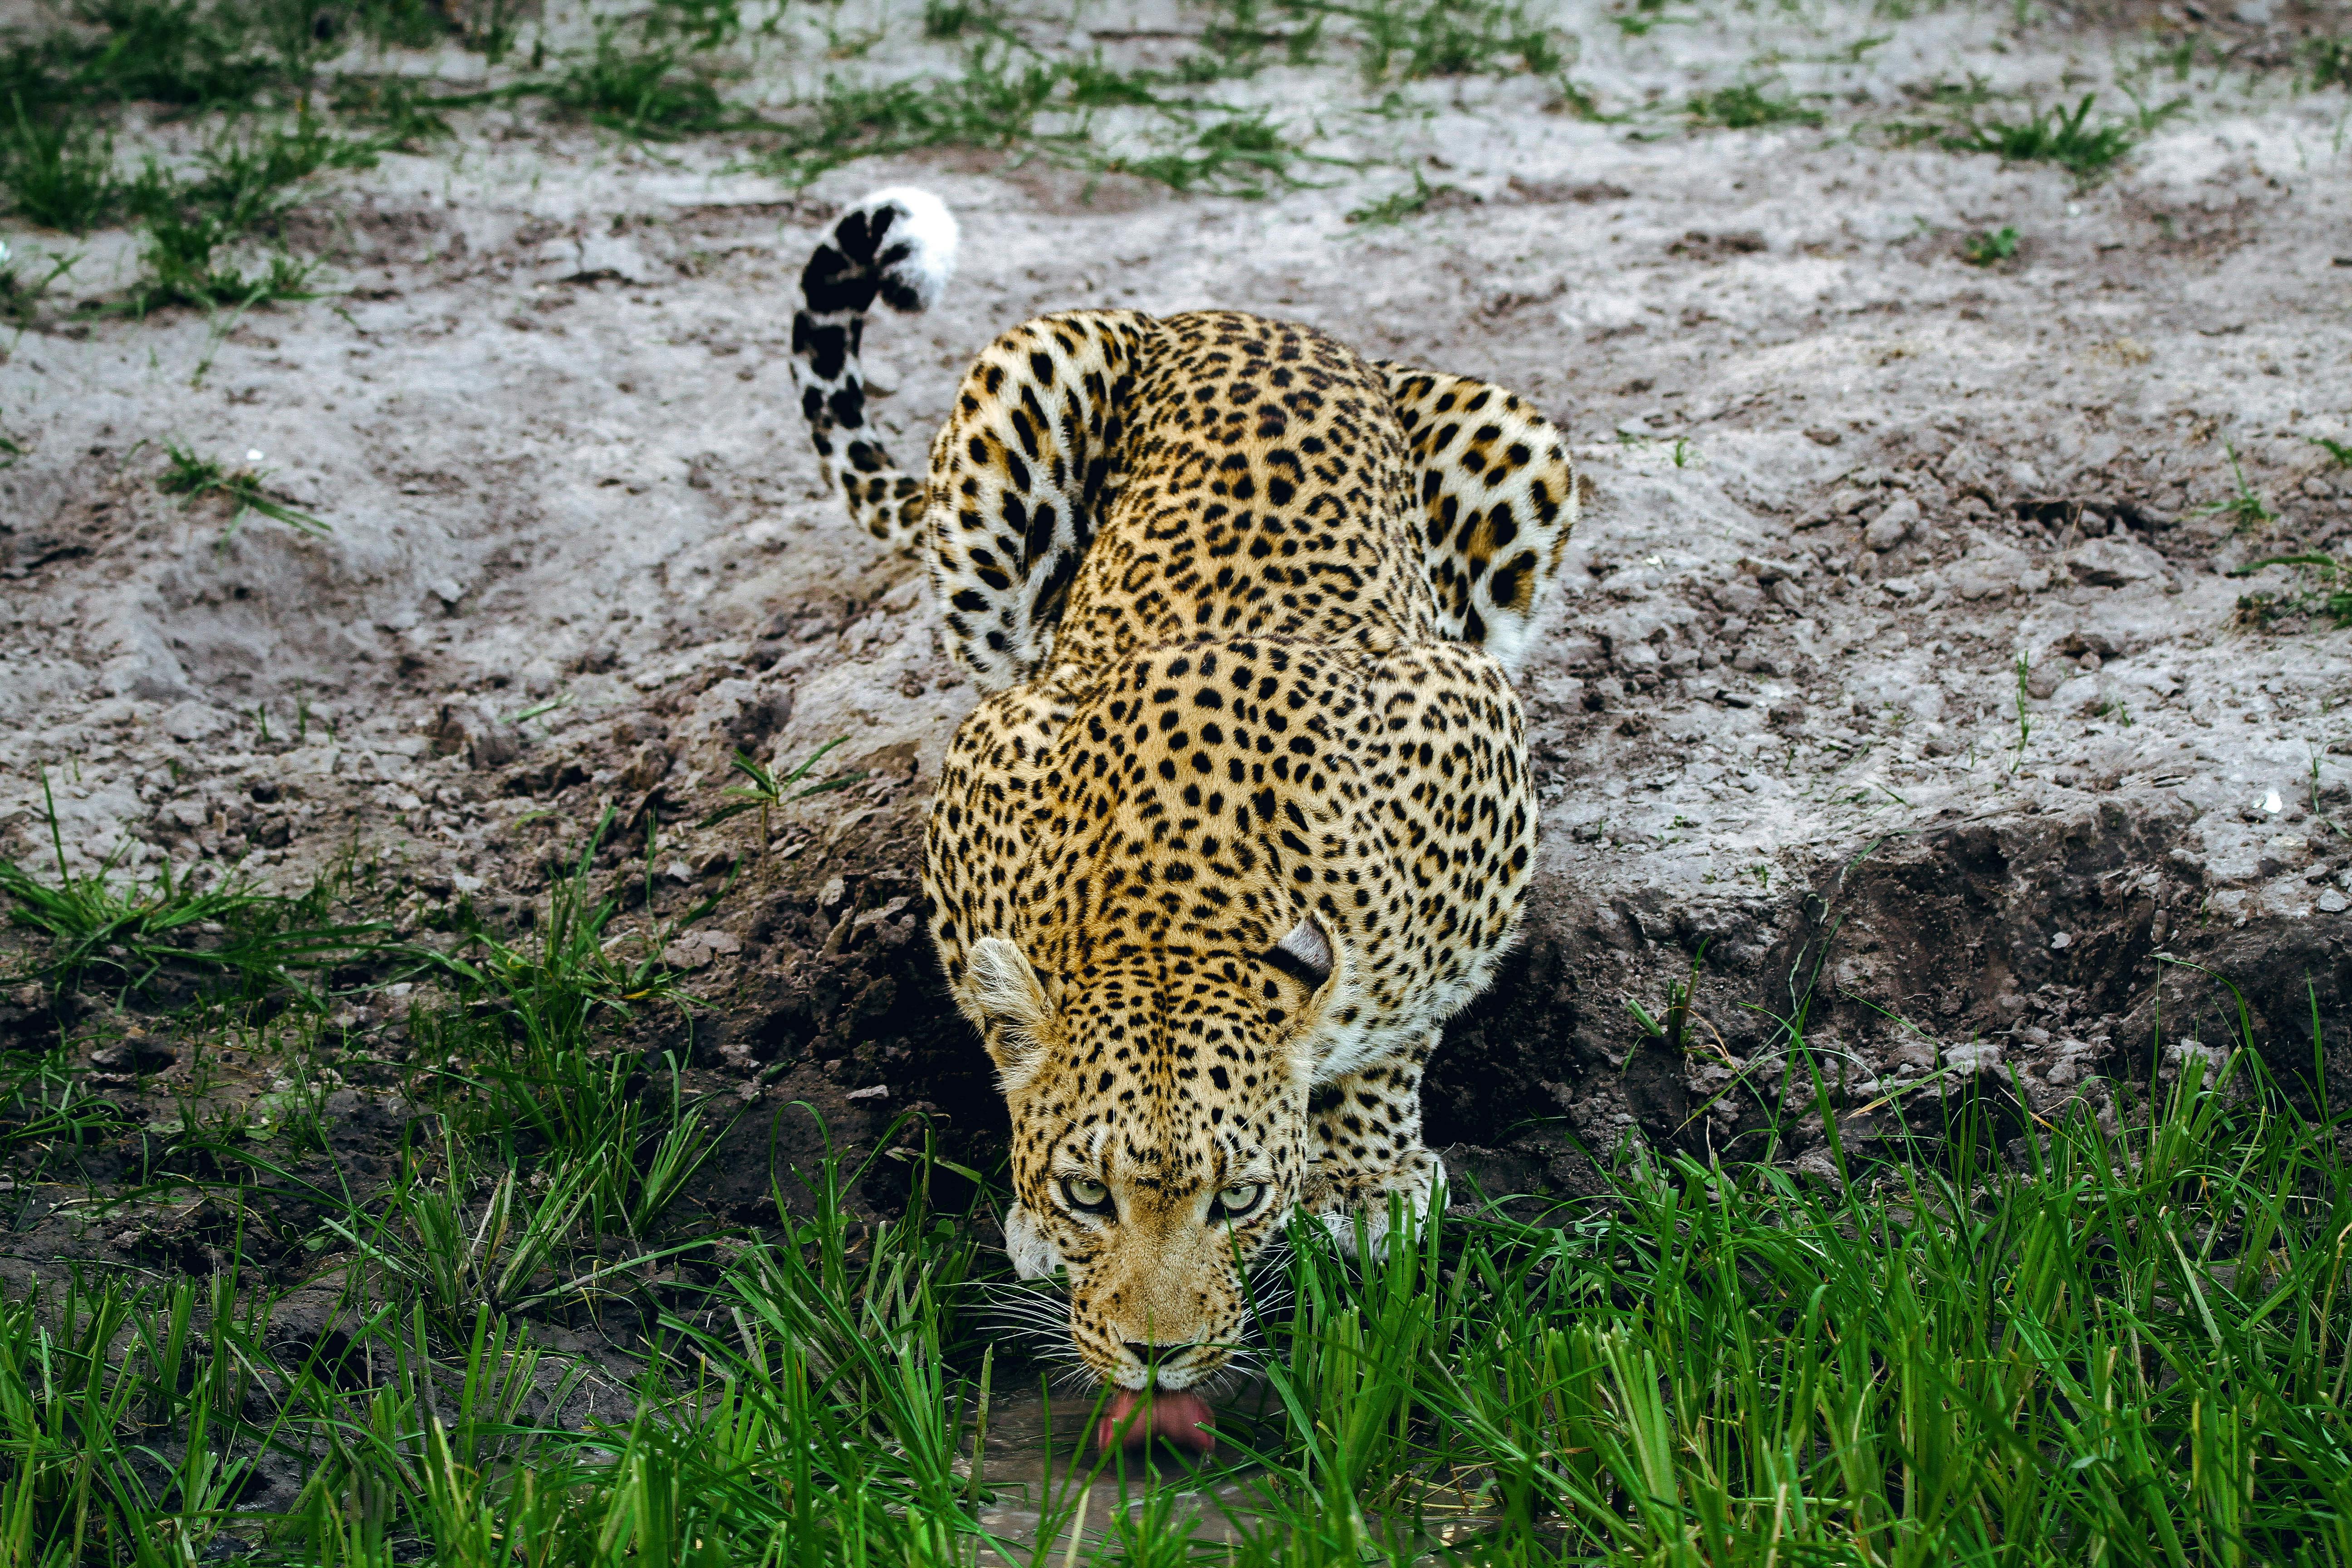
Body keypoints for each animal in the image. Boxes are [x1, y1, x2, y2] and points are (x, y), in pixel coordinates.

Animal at [788, 187, 1577, 1409]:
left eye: (1238, 1199)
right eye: (1090, 1193)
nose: (1155, 1359)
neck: (1171, 907)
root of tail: (1238, 314)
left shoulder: (1472, 729)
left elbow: (1403, 1021)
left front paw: (1364, 1174)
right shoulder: (989, 755)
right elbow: (1002, 1027)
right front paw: (1032, 1211)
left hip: (1516, 445)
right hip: (1022, 395)